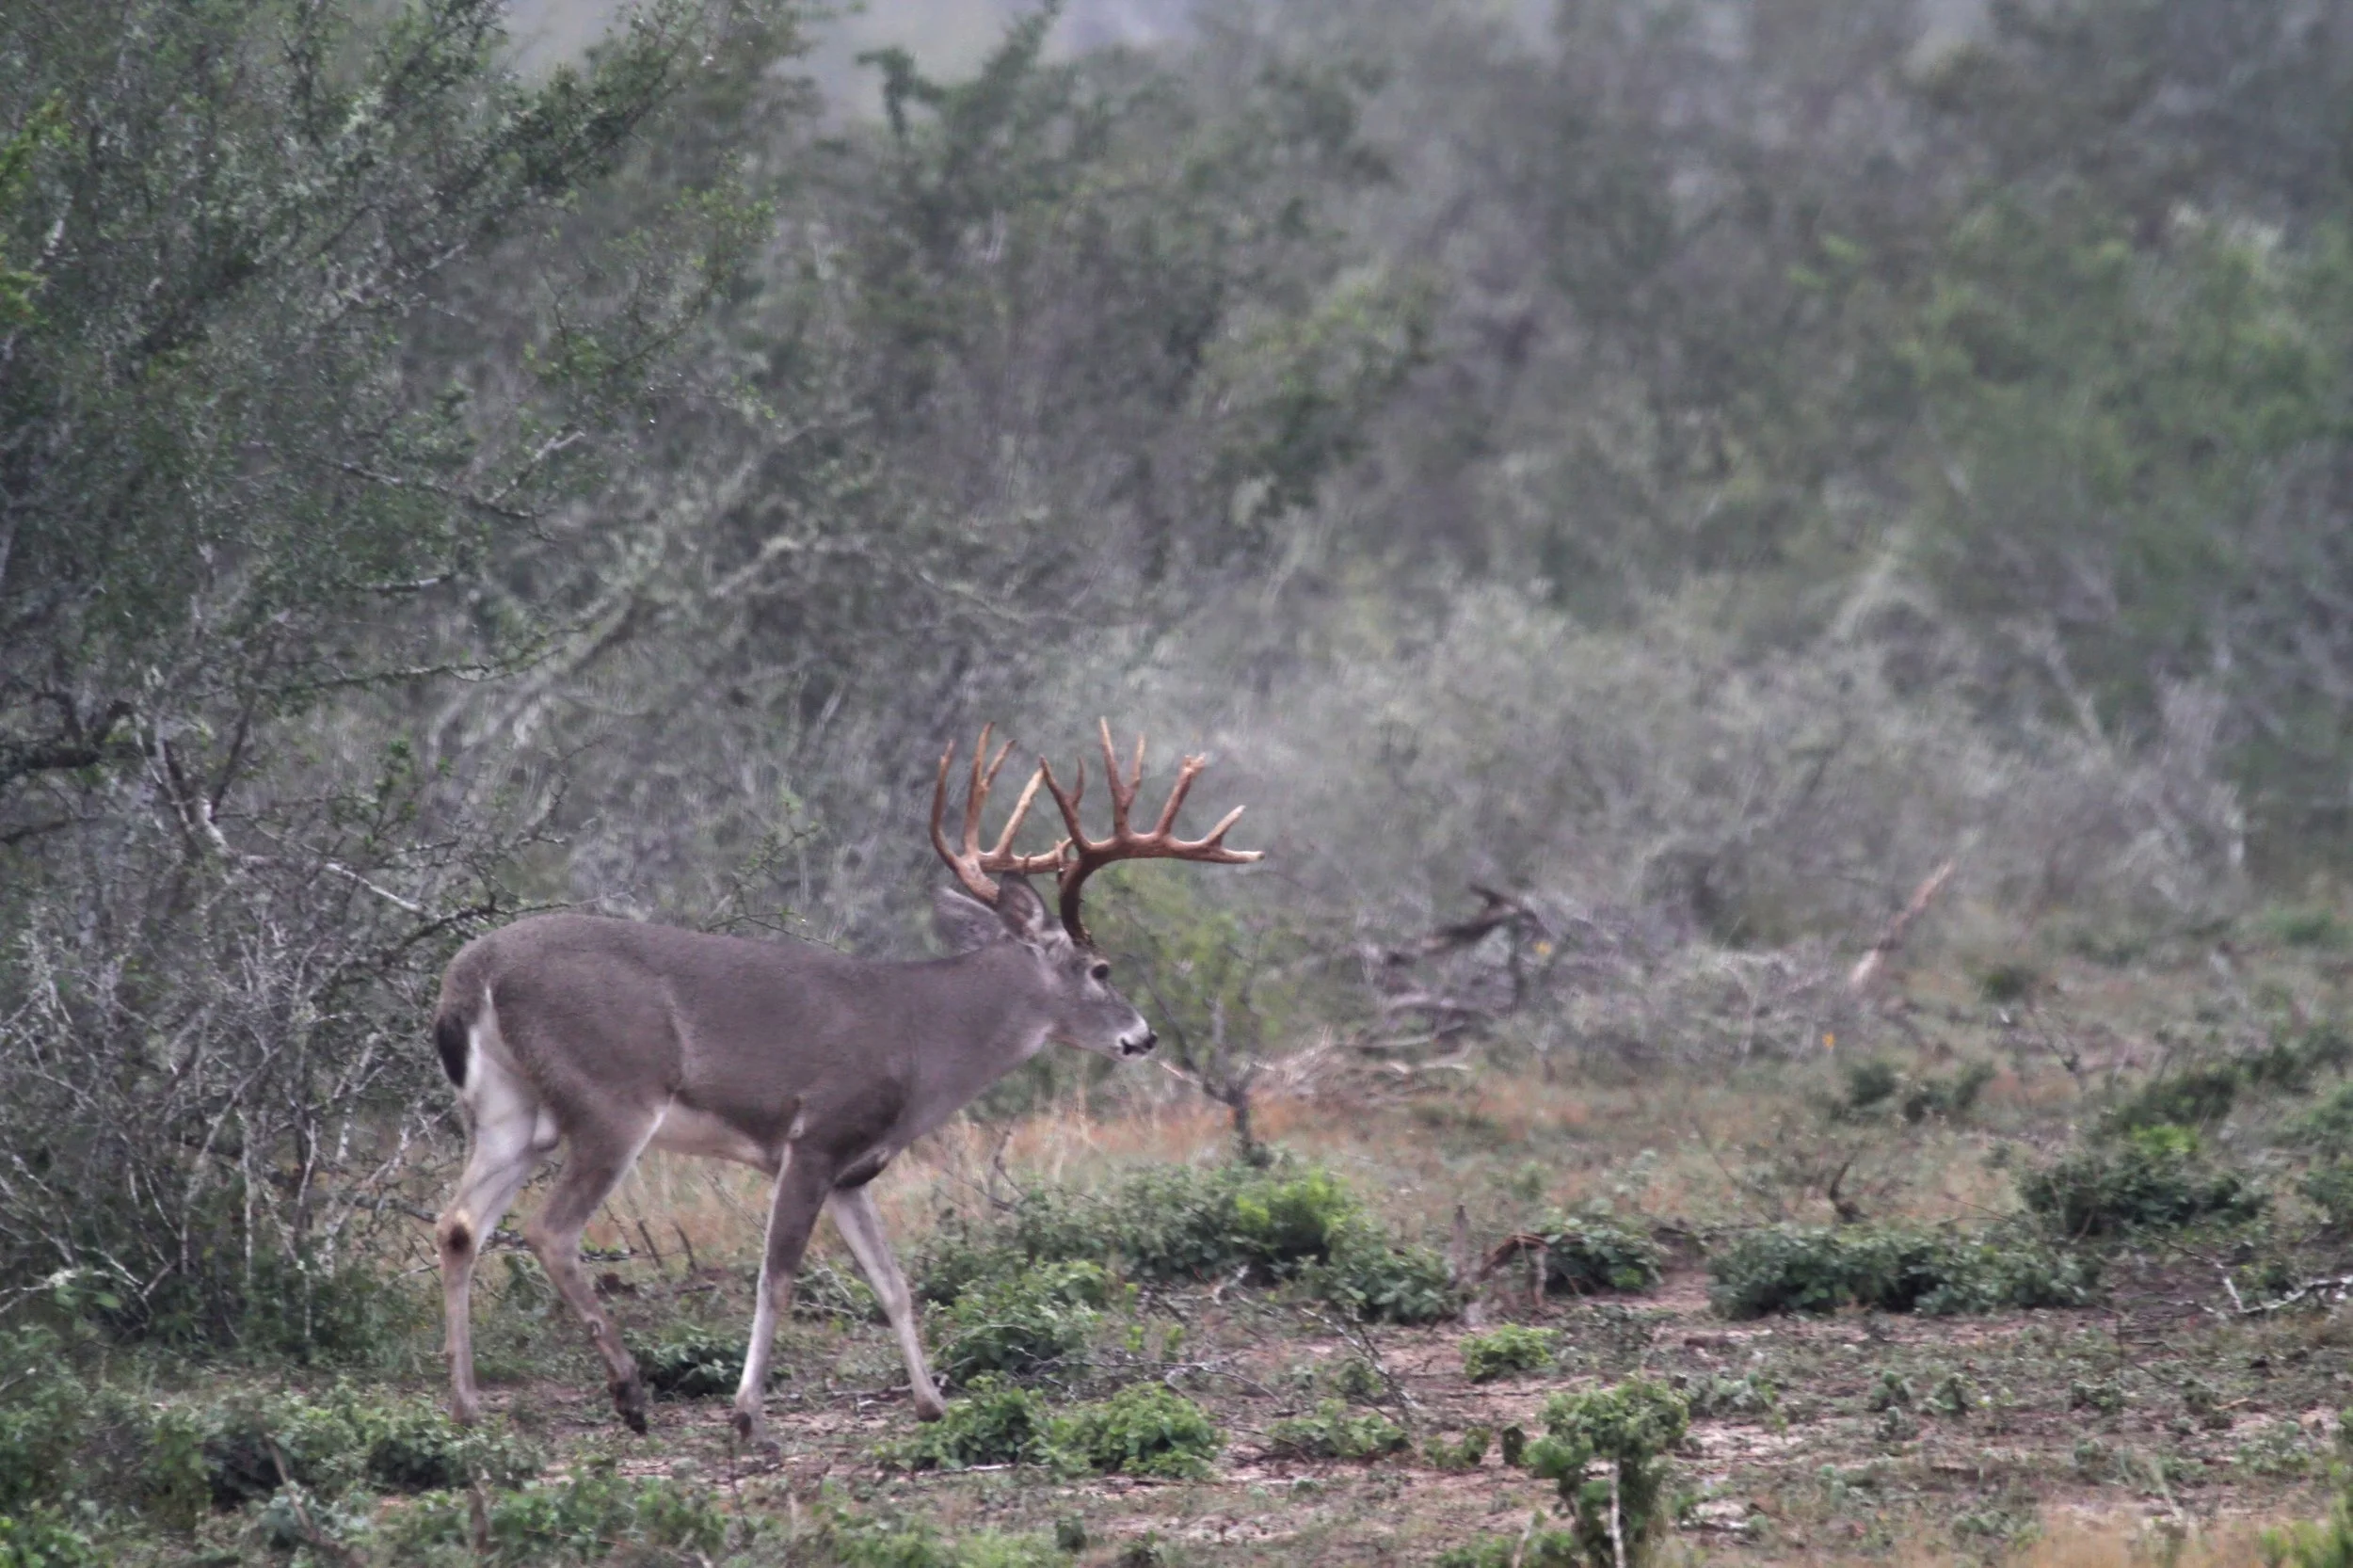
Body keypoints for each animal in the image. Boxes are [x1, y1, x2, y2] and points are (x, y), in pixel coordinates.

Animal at [429, 723, 1259, 1447]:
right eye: (1101, 970)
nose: (1143, 1036)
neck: (921, 1039)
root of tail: (472, 973)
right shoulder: (816, 1137)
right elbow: (777, 1278)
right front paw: (749, 1420)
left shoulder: (856, 1170)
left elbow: (894, 1283)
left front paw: (932, 1404)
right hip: (612, 1099)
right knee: (550, 1230)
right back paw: (629, 1395)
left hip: (511, 1112)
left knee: (459, 1223)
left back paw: (469, 1407)